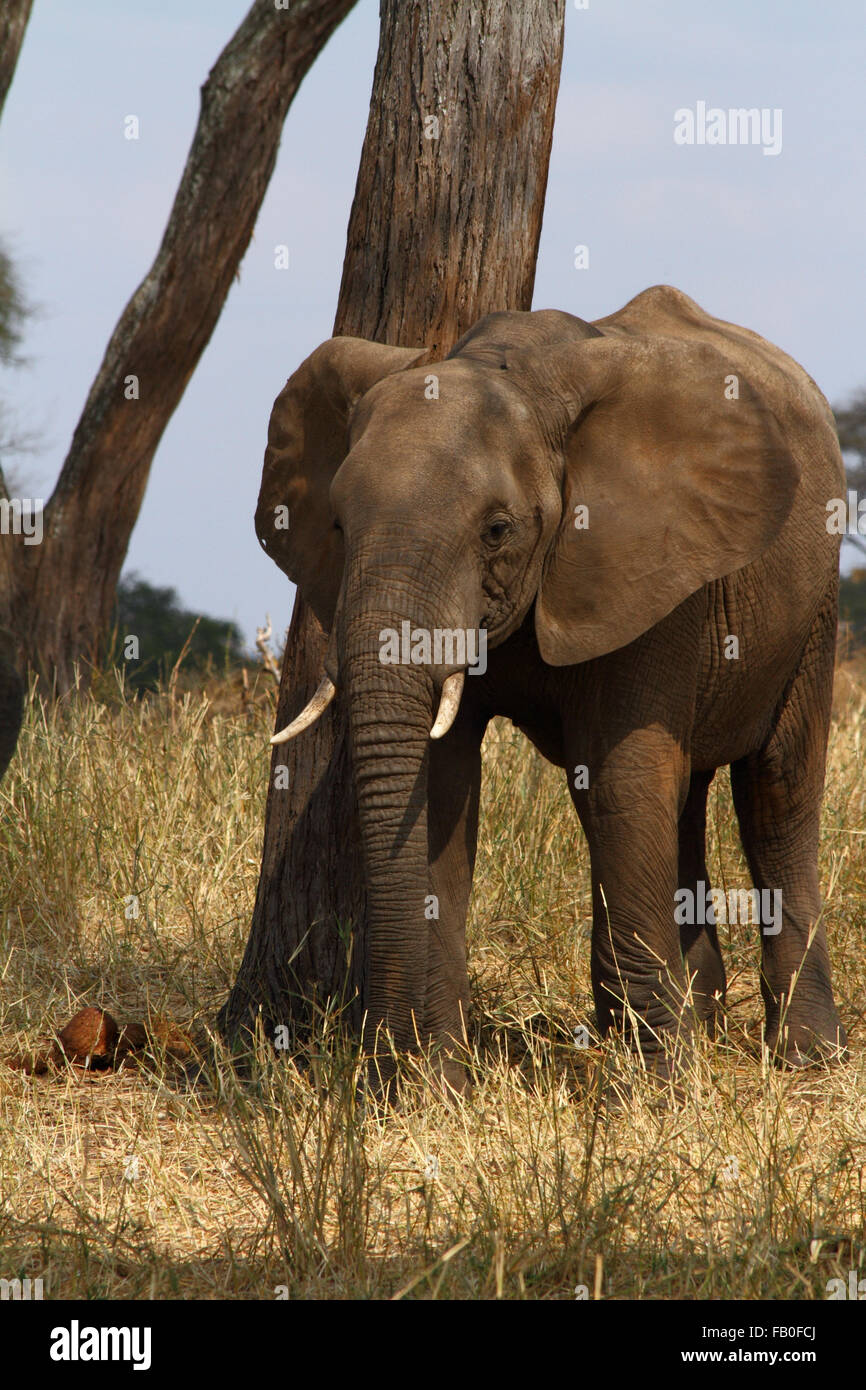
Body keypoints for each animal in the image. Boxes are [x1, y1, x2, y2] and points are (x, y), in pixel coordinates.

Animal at [255, 284, 847, 1087]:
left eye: (498, 530)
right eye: (339, 528)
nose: (381, 1063)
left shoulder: (650, 563)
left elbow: (622, 776)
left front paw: (656, 1090)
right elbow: (442, 784)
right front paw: (435, 1087)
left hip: (816, 599)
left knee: (776, 788)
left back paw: (806, 1057)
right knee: (678, 792)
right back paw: (704, 1021)